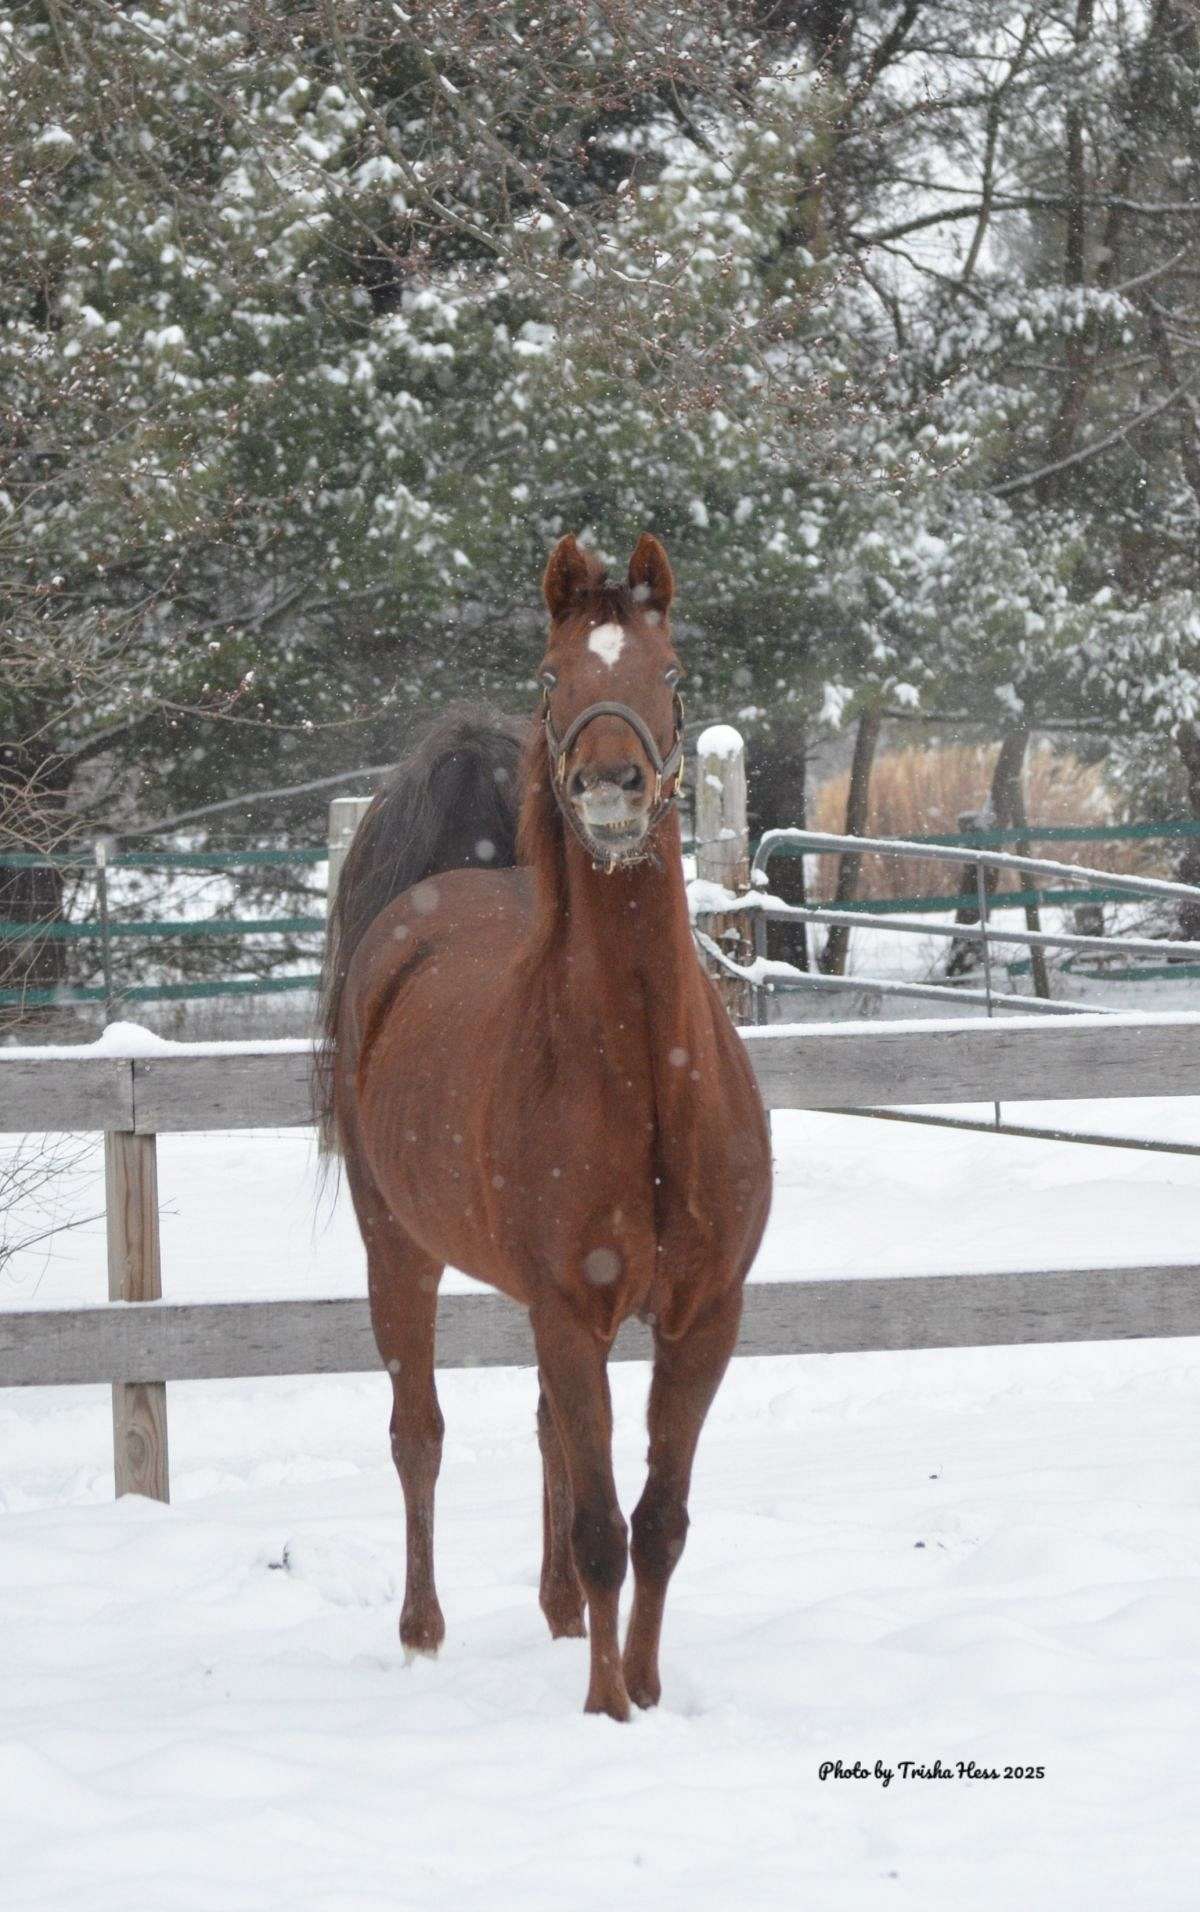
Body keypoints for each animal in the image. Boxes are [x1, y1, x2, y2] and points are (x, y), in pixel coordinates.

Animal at [318, 533, 772, 1720]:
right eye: (553, 675)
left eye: (670, 672)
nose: (611, 786)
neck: (648, 1077)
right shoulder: (570, 1309)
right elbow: (606, 1525)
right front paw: (607, 1710)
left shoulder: (704, 1317)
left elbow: (659, 1521)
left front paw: (646, 1690)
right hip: (397, 1250)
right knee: (419, 1434)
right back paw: (423, 1633)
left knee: (546, 1437)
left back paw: (561, 1615)